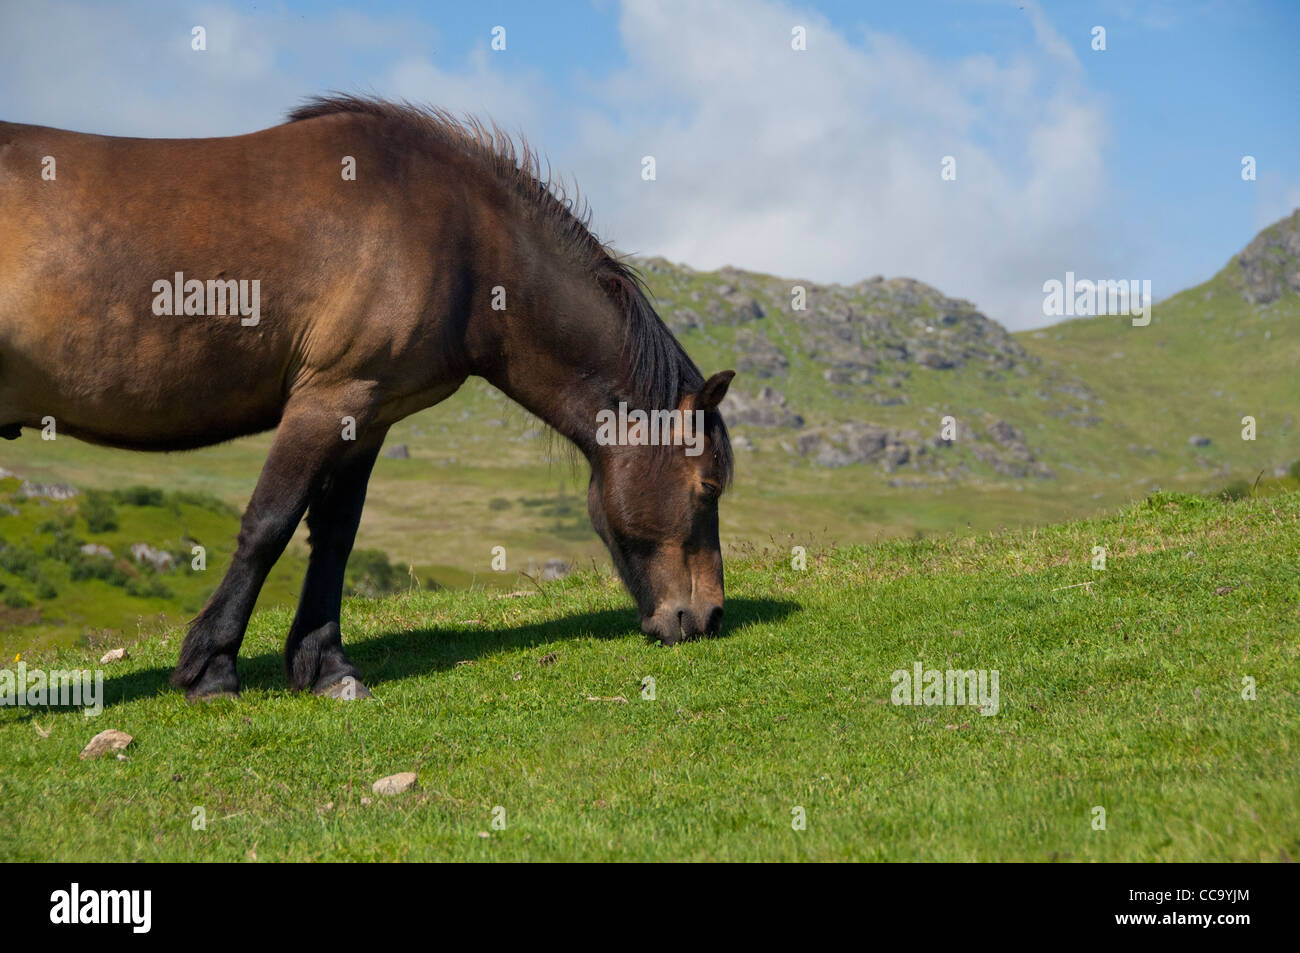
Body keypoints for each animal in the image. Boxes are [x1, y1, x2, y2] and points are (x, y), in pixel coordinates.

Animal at [0, 95, 735, 700]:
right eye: (706, 488)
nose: (707, 616)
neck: (463, 239)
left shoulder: (368, 416)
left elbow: (335, 536)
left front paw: (325, 667)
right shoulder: (330, 397)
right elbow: (268, 525)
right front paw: (211, 669)